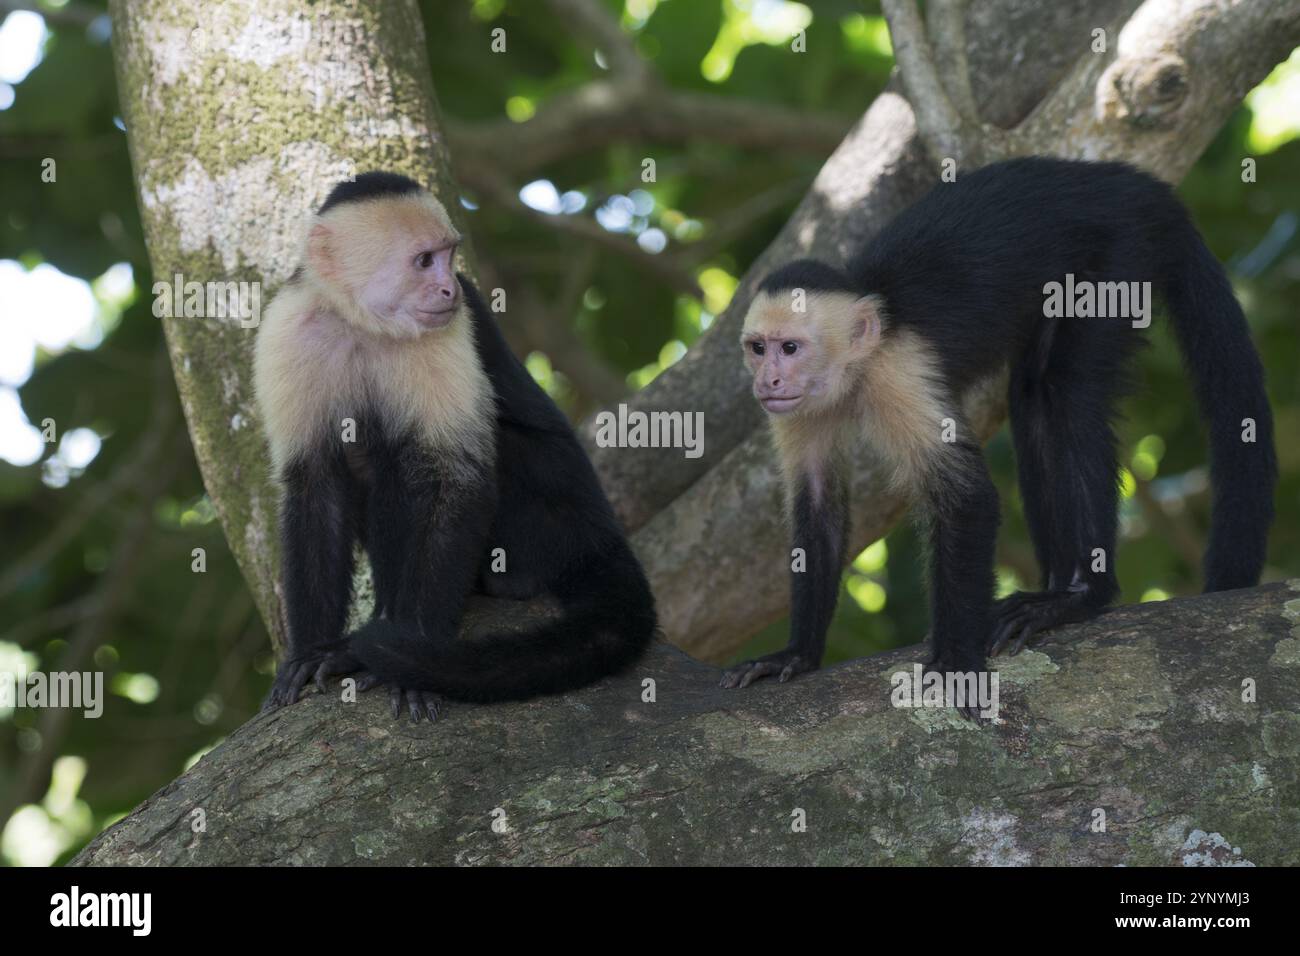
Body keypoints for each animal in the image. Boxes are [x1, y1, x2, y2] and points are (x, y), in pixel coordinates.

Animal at [253, 171, 657, 721]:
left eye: (449, 255)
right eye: (424, 260)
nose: (448, 287)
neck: (364, 324)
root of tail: (599, 533)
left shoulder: (449, 327)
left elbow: (453, 477)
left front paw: (407, 657)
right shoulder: (288, 331)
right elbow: (315, 483)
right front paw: (312, 652)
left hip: (550, 517)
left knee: (412, 455)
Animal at [721, 157, 1276, 710]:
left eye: (790, 348)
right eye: (758, 348)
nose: (767, 381)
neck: (858, 367)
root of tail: (1133, 182)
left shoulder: (898, 372)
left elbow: (967, 498)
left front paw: (954, 663)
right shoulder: (797, 410)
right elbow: (817, 505)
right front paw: (797, 654)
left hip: (1122, 249)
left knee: (1063, 389)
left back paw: (1079, 596)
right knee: (1032, 392)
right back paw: (1055, 584)